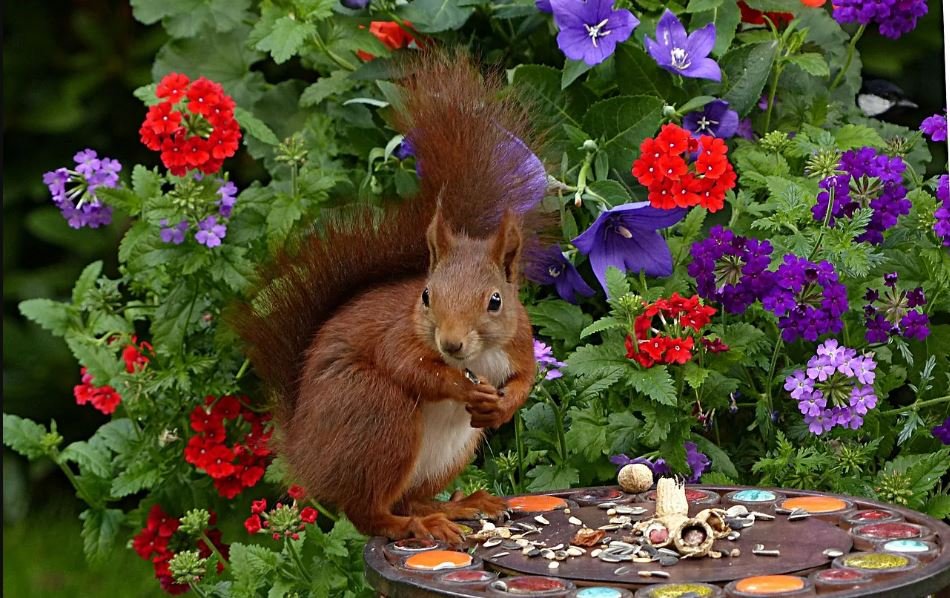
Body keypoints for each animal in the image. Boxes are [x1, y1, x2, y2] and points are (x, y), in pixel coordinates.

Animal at [233, 51, 547, 543]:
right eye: (426, 295)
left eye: (496, 301)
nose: (451, 343)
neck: (473, 358)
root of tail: (306, 456)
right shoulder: (398, 336)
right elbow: (406, 365)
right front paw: (461, 386)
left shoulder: (519, 342)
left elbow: (526, 379)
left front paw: (502, 404)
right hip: (379, 412)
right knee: (370, 513)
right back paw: (420, 524)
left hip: (448, 452)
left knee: (406, 497)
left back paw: (459, 506)